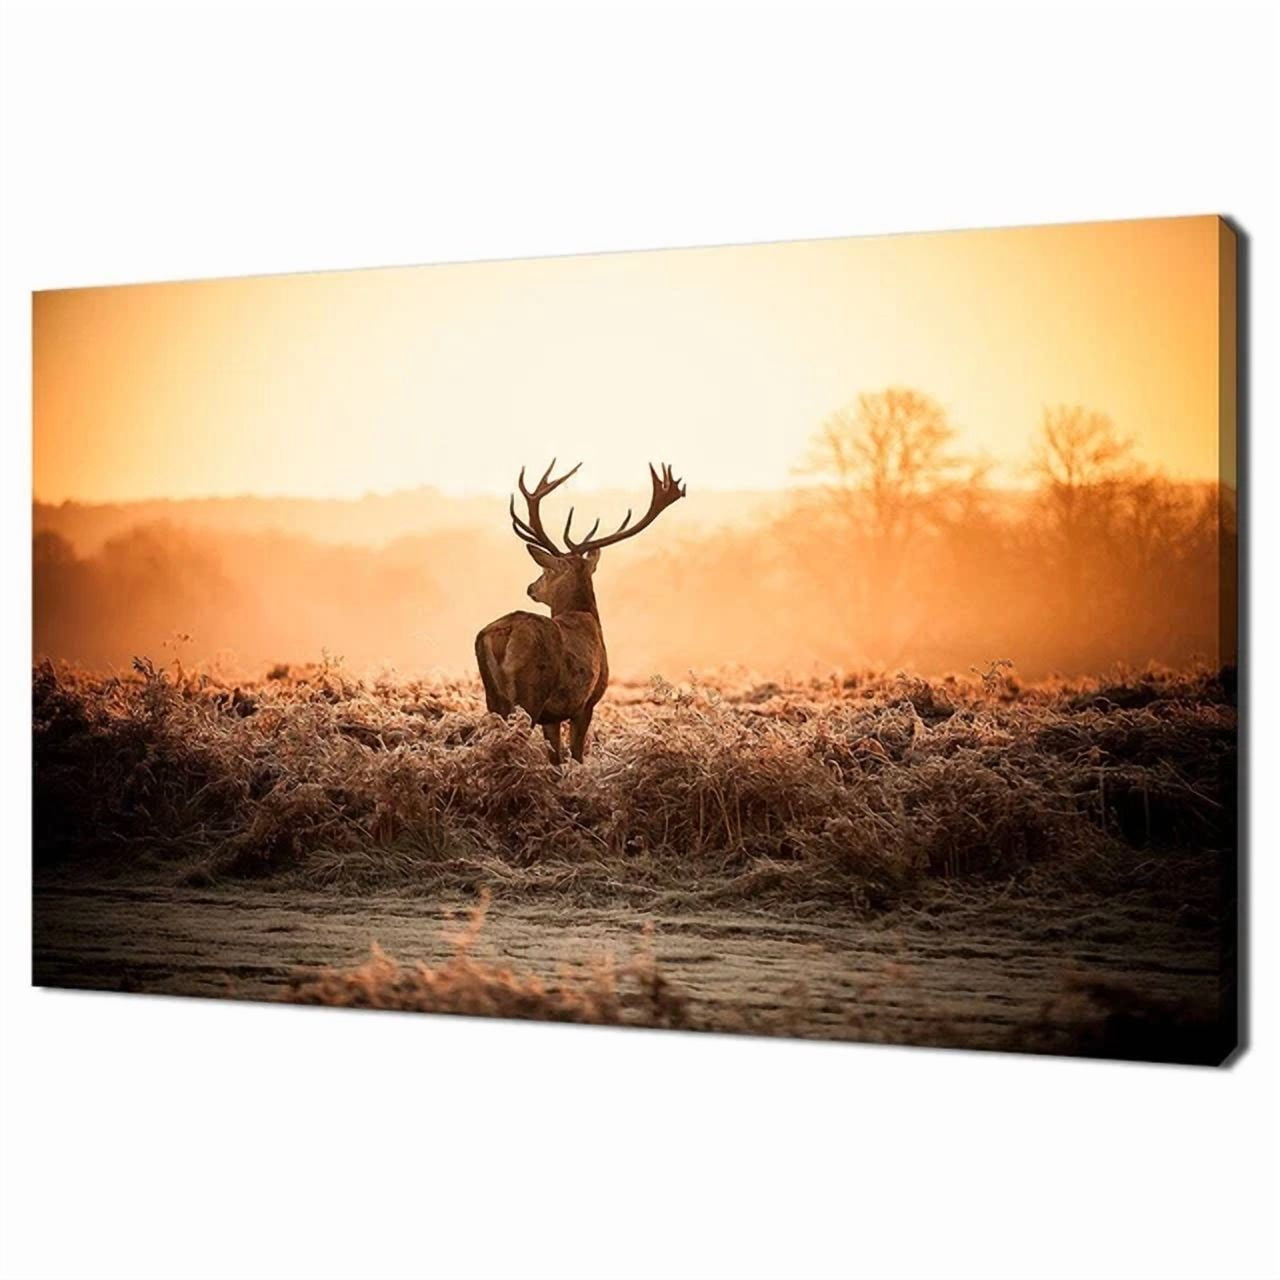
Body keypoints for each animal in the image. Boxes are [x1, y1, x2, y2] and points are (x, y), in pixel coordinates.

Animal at [475, 460, 686, 764]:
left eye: (545, 571)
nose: (531, 587)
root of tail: (506, 632)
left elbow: (556, 759)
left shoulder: (553, 716)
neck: (587, 617)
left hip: (493, 697)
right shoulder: (586, 702)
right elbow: (576, 754)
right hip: (530, 695)